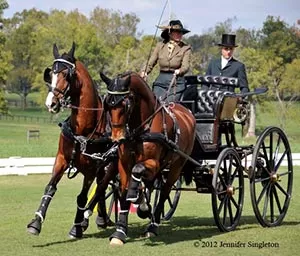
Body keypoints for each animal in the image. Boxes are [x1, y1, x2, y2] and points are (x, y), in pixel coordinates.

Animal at [26, 42, 116, 238]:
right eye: (51, 73)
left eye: (66, 74)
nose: (51, 104)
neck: (83, 129)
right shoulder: (61, 158)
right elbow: (50, 187)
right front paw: (36, 222)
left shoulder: (91, 169)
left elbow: (82, 197)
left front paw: (76, 227)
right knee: (103, 186)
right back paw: (101, 219)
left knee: (105, 186)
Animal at [99, 71, 196, 245]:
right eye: (108, 105)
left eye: (125, 104)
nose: (117, 137)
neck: (140, 129)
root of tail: (186, 113)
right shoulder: (124, 163)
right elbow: (123, 191)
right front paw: (120, 231)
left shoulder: (153, 162)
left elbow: (137, 172)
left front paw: (135, 195)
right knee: (151, 185)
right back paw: (144, 207)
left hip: (176, 166)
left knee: (164, 191)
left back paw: (152, 225)